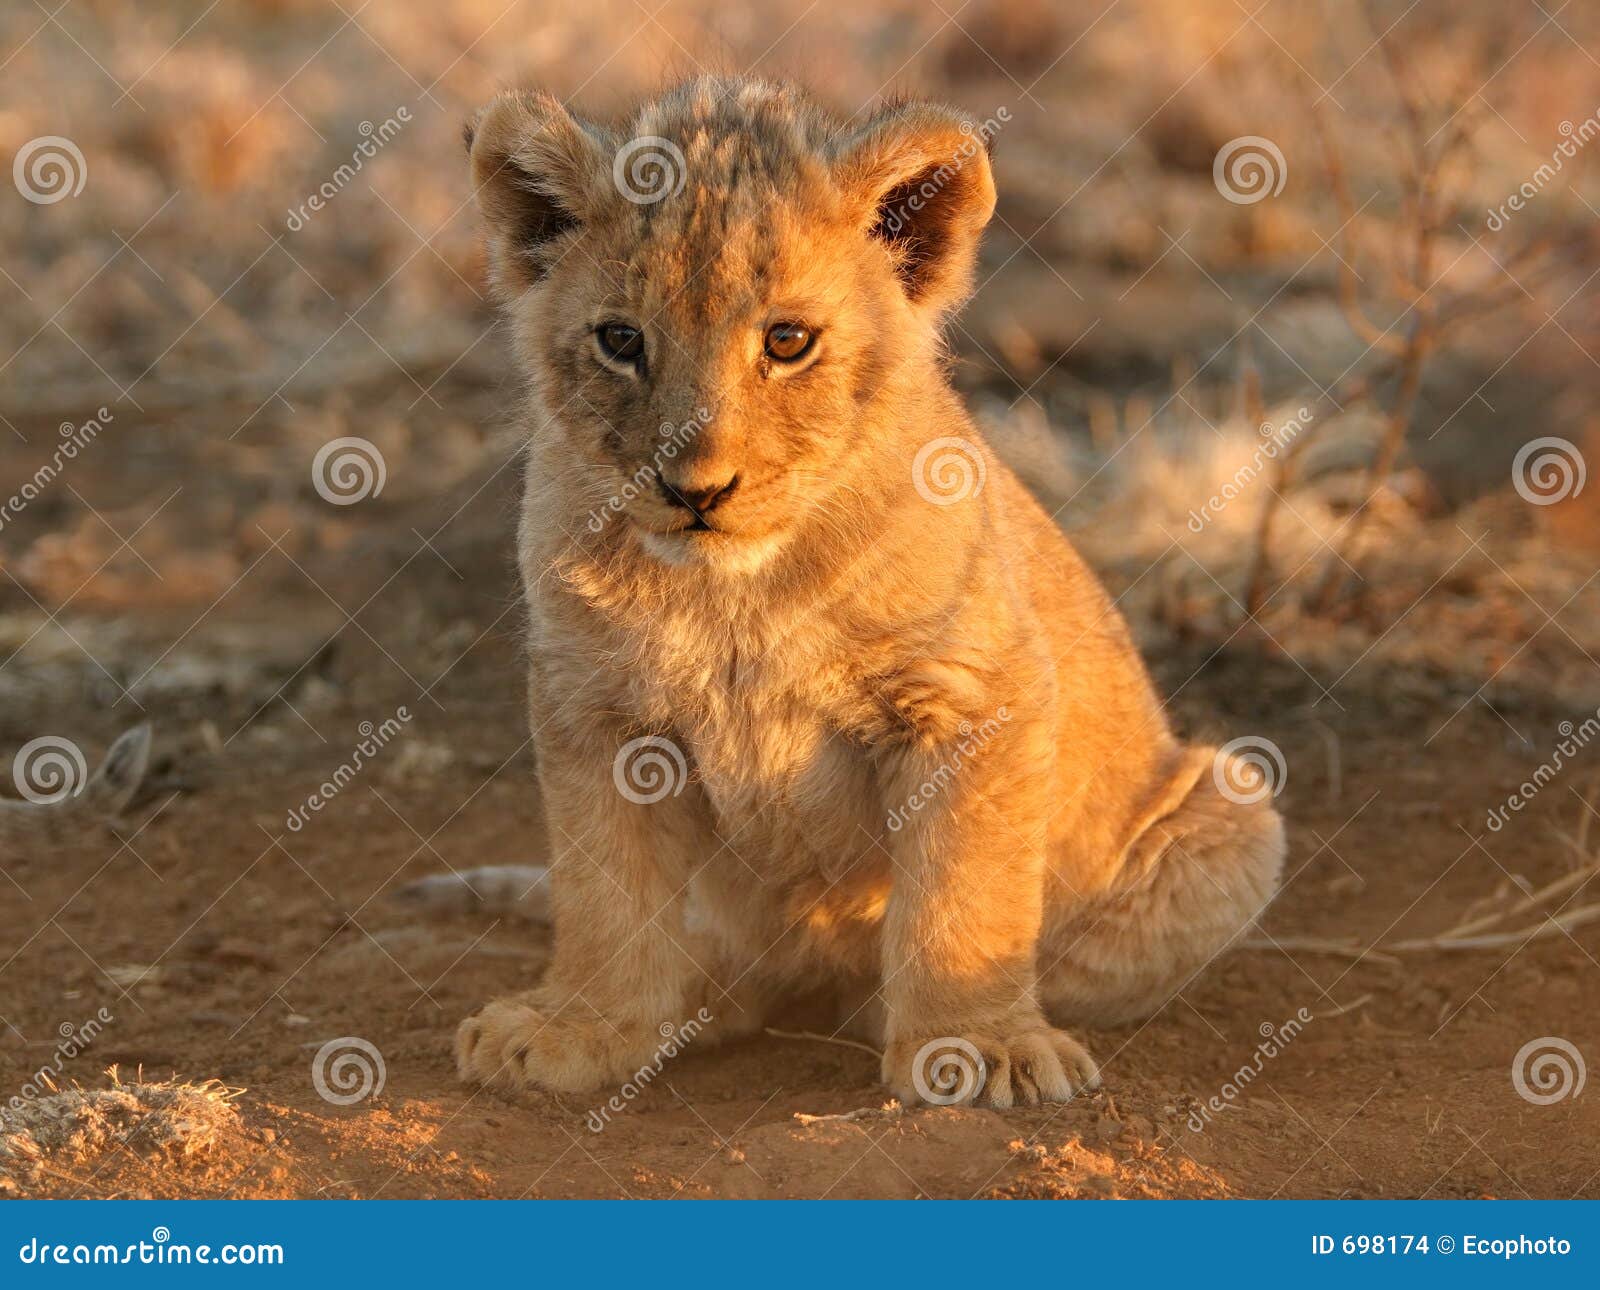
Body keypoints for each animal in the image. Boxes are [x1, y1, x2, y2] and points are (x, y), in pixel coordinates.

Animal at [455, 77, 1285, 1108]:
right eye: (619, 341)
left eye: (787, 340)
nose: (695, 491)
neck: (734, 591)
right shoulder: (596, 709)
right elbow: (604, 886)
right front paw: (585, 1027)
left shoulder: (974, 694)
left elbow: (965, 889)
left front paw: (978, 1045)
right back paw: (696, 999)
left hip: (1236, 805)